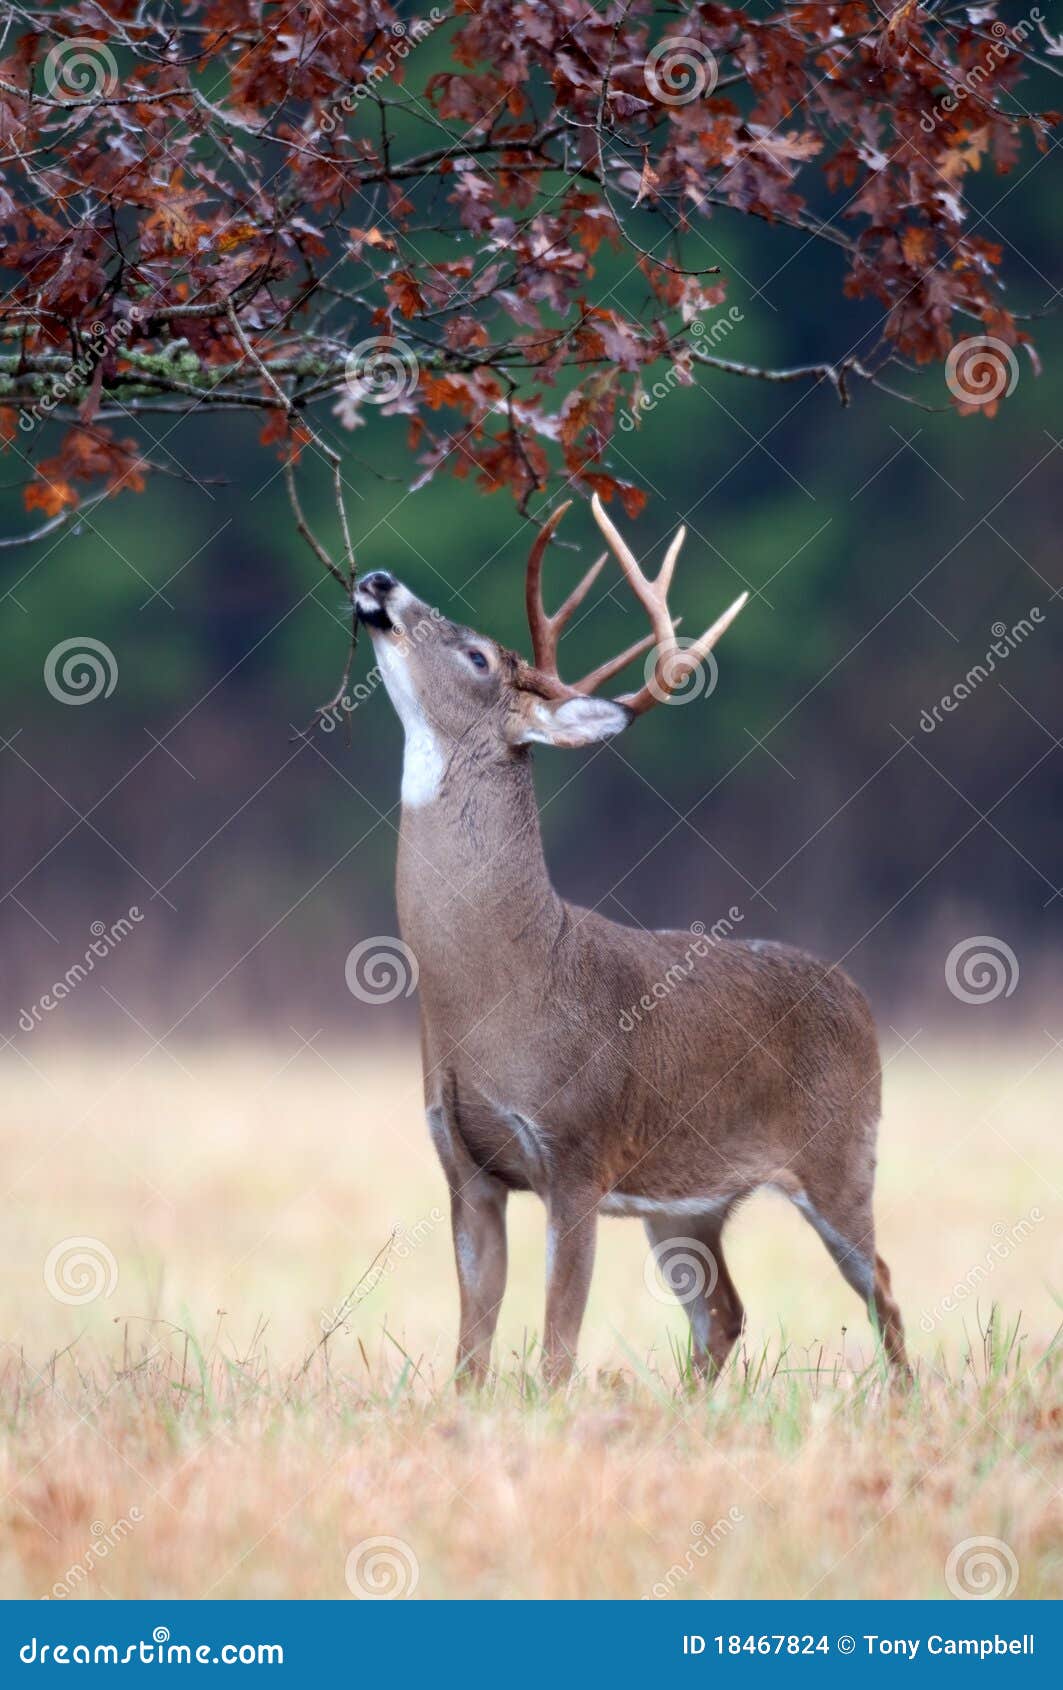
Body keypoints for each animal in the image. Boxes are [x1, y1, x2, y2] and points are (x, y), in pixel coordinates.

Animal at [354, 494, 909, 1389]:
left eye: (476, 655)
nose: (376, 580)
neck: (500, 988)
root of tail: (853, 990)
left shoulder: (578, 1154)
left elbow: (556, 1347)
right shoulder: (464, 1166)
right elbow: (471, 1349)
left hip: (842, 1153)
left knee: (882, 1288)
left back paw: (901, 1400)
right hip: (688, 1201)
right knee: (723, 1312)